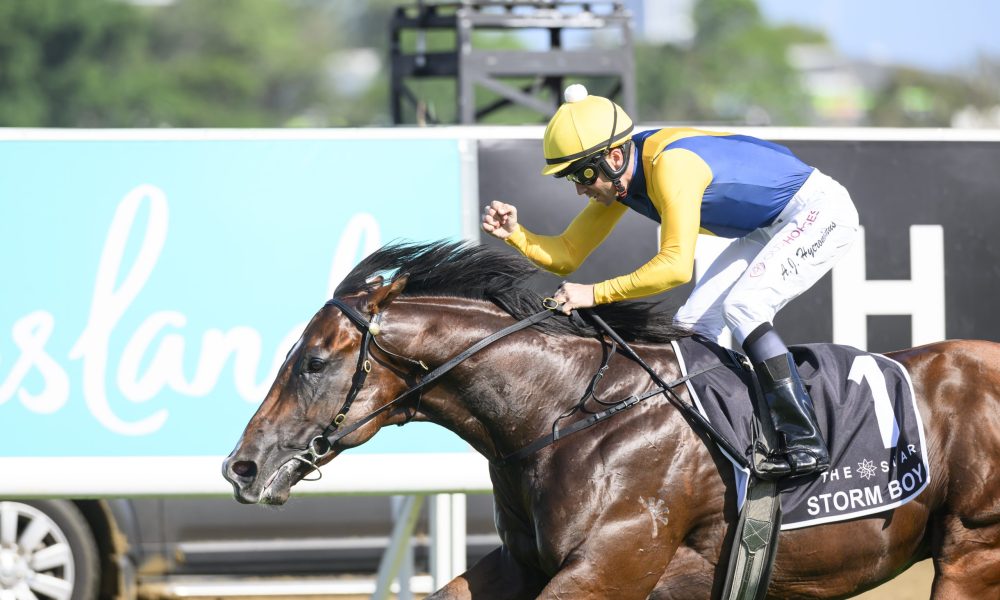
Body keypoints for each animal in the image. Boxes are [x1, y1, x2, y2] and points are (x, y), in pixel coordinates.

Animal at [222, 241, 1000, 599]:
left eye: (313, 360)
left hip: (972, 550)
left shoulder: (607, 569)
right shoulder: (523, 563)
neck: (569, 414)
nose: (241, 467)